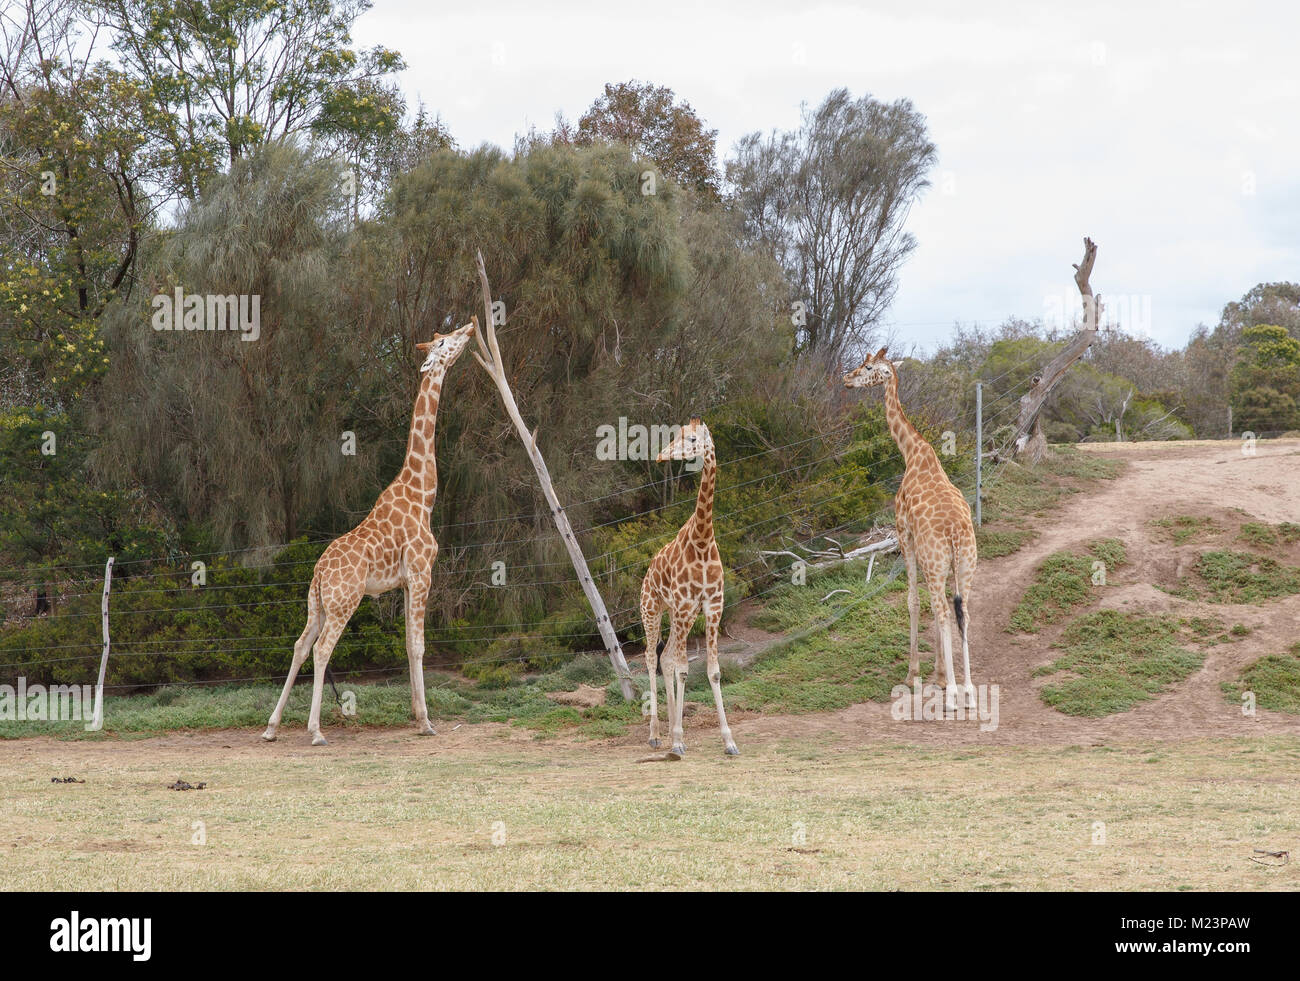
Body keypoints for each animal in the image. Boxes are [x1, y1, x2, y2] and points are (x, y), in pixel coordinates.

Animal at [262, 320, 477, 745]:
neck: (422, 494)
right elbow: (419, 645)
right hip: (345, 601)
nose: (470, 327)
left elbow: (408, 646)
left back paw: (272, 727)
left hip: (317, 604)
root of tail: (318, 573)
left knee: (300, 645)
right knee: (322, 649)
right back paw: (315, 731)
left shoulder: (407, 581)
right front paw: (426, 721)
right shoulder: (422, 572)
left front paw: (417, 716)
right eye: (445, 341)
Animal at [639, 418, 738, 756]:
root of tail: (647, 573)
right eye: (676, 435)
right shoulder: (685, 605)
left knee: (666, 657)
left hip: (680, 614)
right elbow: (683, 670)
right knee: (650, 656)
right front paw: (679, 740)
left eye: (693, 439)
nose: (660, 456)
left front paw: (729, 741)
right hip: (652, 610)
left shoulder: (711, 605)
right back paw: (658, 735)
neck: (703, 540)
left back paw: (671, 729)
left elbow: (713, 670)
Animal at [844, 347, 978, 712]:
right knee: (962, 611)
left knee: (943, 610)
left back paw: (954, 695)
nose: (846, 378)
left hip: (935, 562)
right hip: (965, 564)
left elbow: (913, 601)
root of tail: (955, 534)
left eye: (868, 367)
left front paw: (916, 675)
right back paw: (969, 689)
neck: (912, 453)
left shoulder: (904, 534)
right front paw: (940, 676)